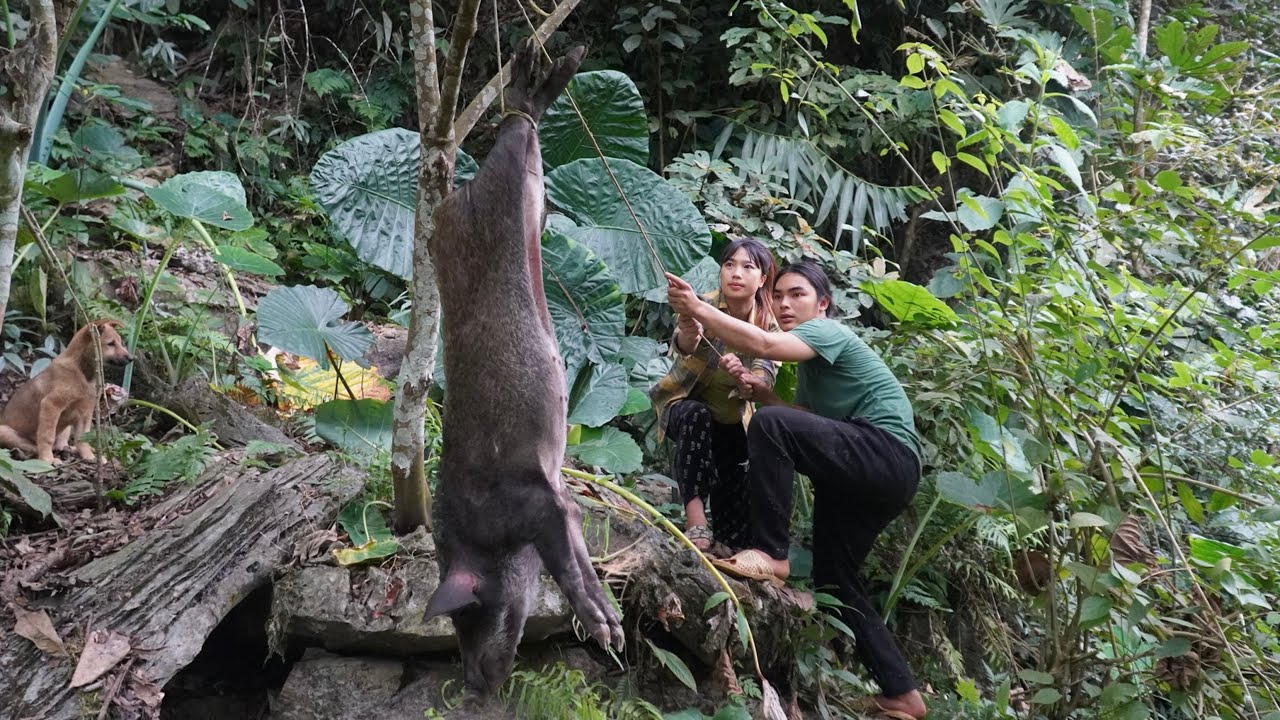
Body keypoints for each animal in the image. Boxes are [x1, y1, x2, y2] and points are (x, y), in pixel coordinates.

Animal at [422, 39, 624, 701]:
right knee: (526, 128)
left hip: (487, 198)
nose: (473, 688)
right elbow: (577, 542)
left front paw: (606, 633)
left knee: (517, 138)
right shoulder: (558, 495)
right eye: (455, 630)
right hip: (521, 198)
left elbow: (567, 560)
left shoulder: (537, 501)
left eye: (472, 613)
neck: (489, 538)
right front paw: (612, 629)